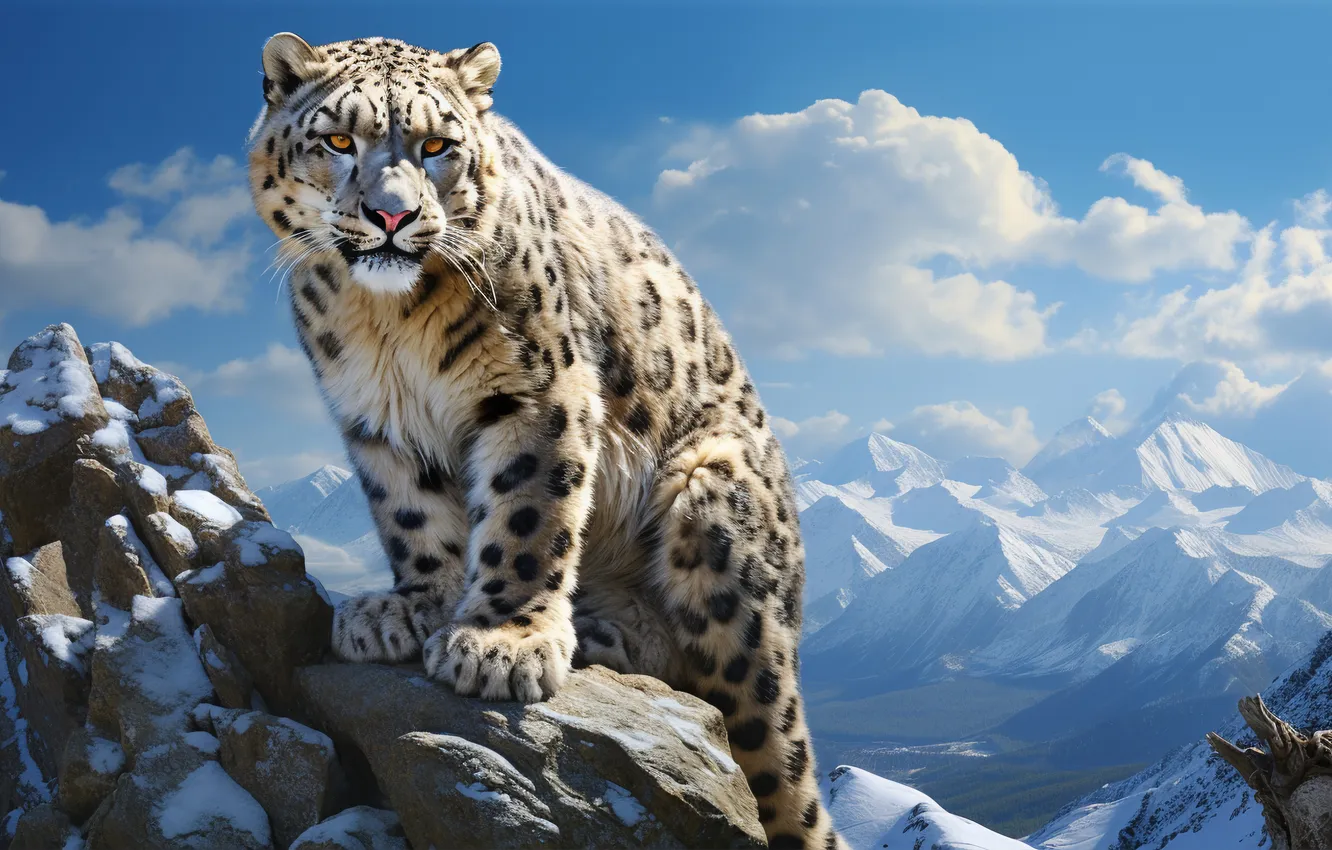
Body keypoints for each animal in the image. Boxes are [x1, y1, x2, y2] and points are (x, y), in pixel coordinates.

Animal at [247, 32, 844, 850]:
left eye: (437, 146)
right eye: (339, 141)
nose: (393, 215)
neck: (385, 324)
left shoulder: (536, 386)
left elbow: (529, 511)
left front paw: (503, 642)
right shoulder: (374, 417)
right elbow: (409, 512)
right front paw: (412, 608)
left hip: (714, 505)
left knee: (753, 724)